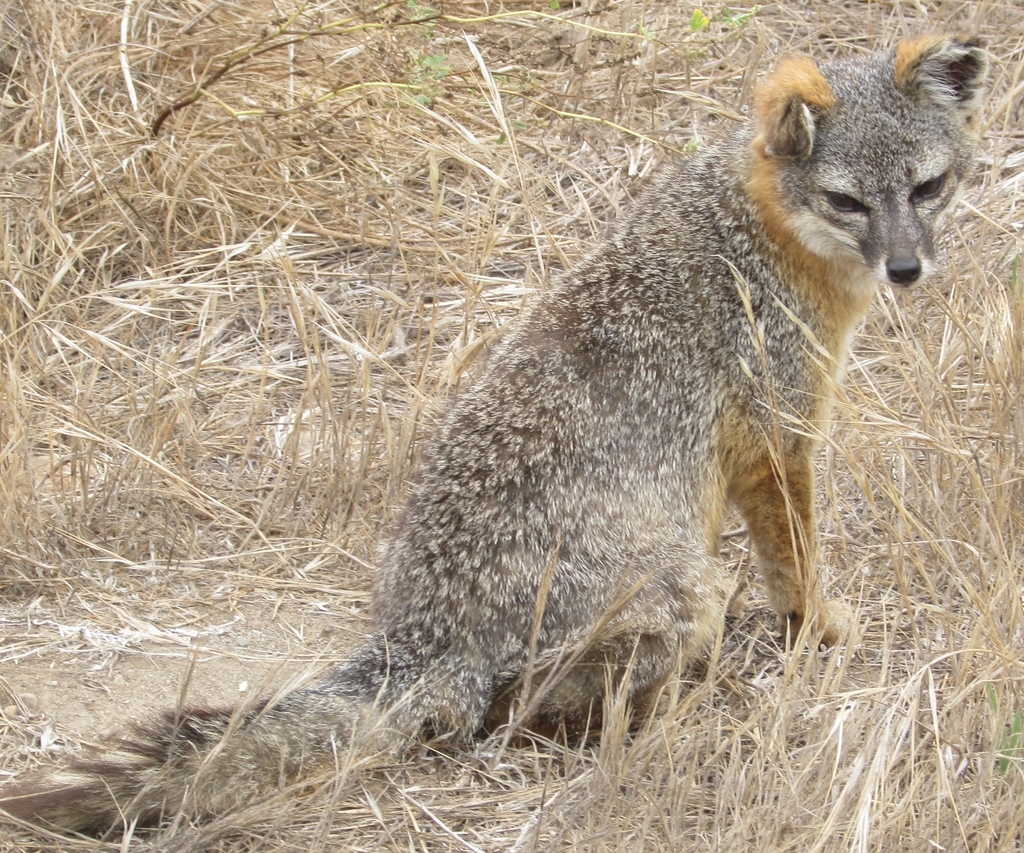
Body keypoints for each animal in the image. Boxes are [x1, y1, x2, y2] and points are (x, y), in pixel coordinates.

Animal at [0, 34, 986, 835]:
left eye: (927, 188)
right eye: (848, 201)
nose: (908, 267)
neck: (758, 231)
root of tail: (424, 639)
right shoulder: (781, 436)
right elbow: (799, 561)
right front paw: (820, 628)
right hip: (690, 588)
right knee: (516, 710)